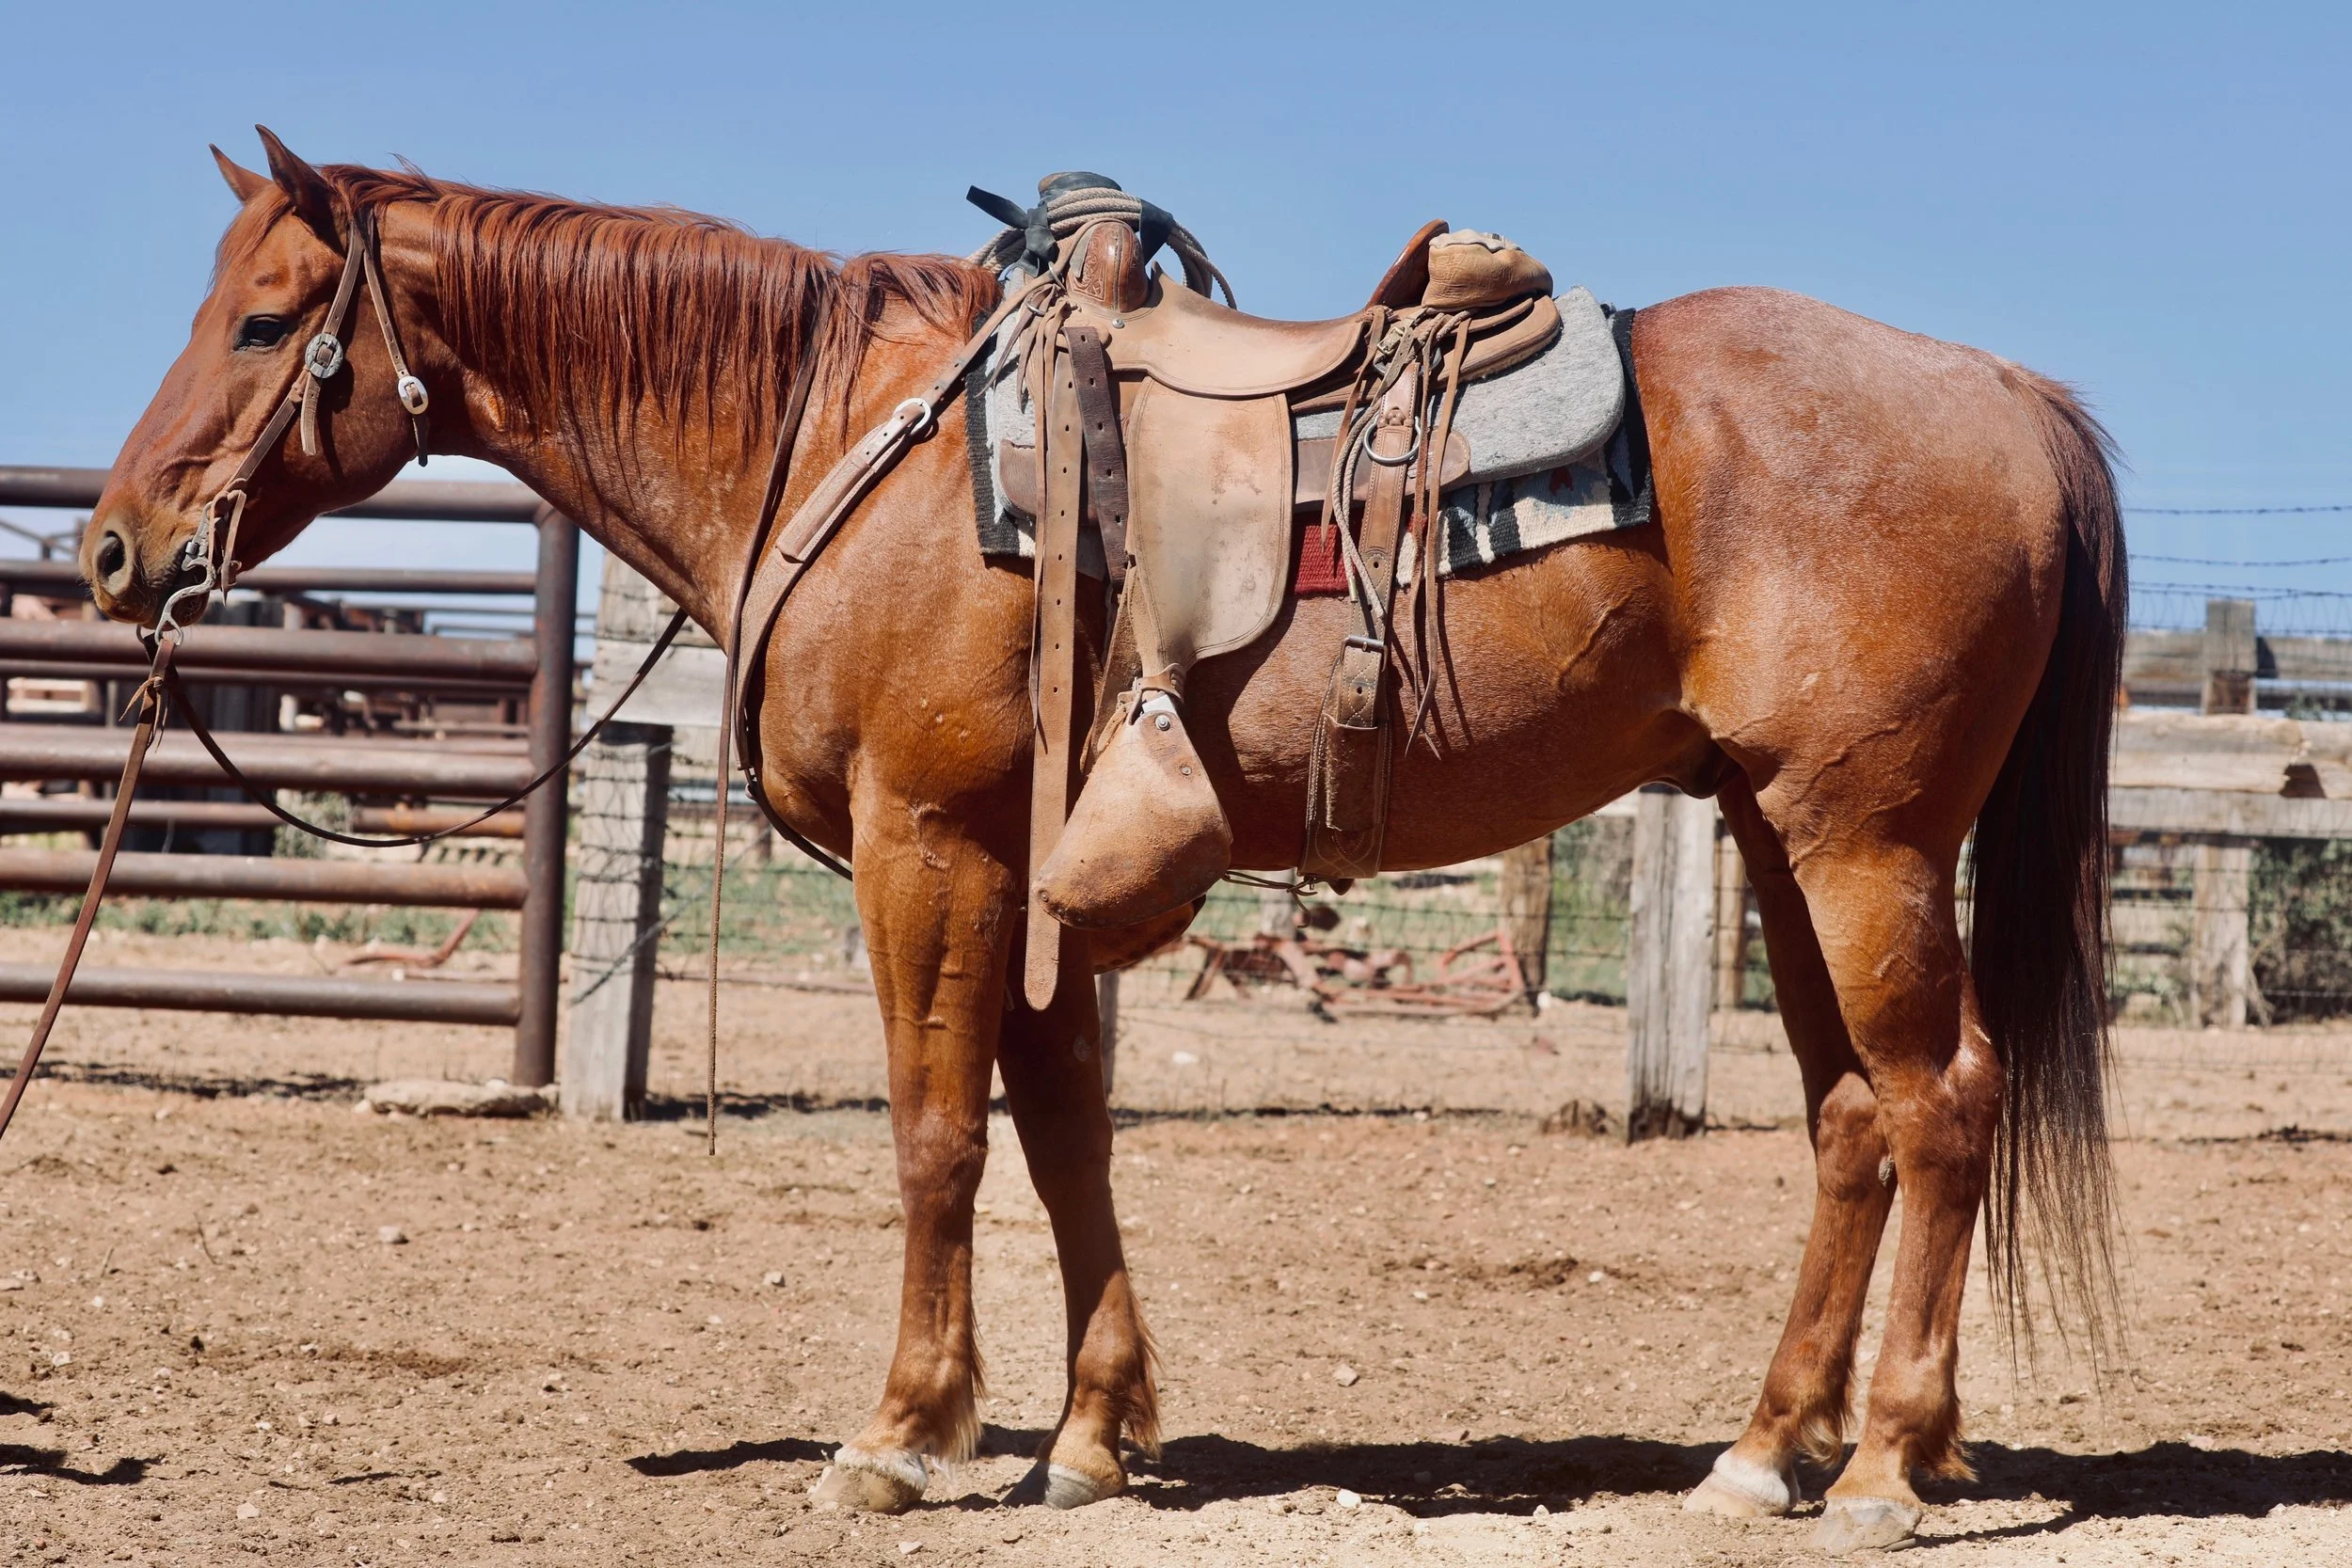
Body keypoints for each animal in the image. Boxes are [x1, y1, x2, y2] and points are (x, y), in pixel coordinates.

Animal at [83, 131, 2124, 1553]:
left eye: (262, 318)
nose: (112, 547)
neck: (845, 441)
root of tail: (2004, 393)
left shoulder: (930, 841)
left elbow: (936, 1133)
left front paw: (904, 1436)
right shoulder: (1028, 860)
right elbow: (1063, 1127)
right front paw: (1089, 1431)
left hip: (1863, 840)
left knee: (1941, 1097)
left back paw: (1884, 1466)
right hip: (1786, 834)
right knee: (1852, 1119)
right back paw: (1767, 1451)